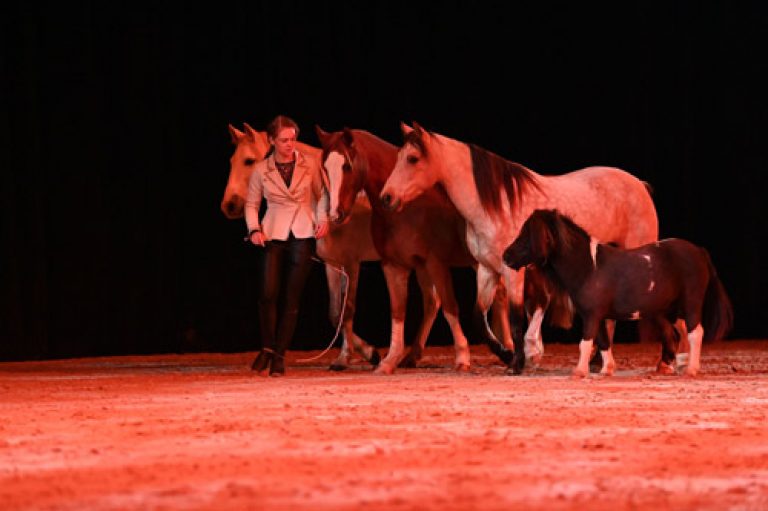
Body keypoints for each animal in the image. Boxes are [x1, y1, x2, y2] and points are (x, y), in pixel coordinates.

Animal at [315, 126, 519, 374]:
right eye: (325, 167)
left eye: (346, 165)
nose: (336, 214)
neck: (407, 208)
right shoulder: (394, 266)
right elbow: (398, 311)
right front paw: (388, 360)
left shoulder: (435, 263)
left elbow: (450, 306)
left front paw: (462, 356)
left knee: (499, 294)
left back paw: (508, 347)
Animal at [379, 122, 660, 374]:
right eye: (399, 156)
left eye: (413, 158)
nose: (387, 197)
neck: (497, 204)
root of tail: (640, 185)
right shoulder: (487, 269)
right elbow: (478, 316)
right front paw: (507, 354)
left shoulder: (513, 270)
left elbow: (515, 318)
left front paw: (516, 362)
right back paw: (595, 362)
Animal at [503, 209, 734, 377]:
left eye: (525, 234)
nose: (505, 256)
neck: (589, 267)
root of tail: (699, 251)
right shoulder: (596, 315)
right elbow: (603, 342)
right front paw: (606, 370)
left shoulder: (592, 315)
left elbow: (585, 343)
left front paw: (579, 371)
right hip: (671, 309)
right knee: (678, 333)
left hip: (691, 303)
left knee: (696, 333)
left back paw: (692, 369)